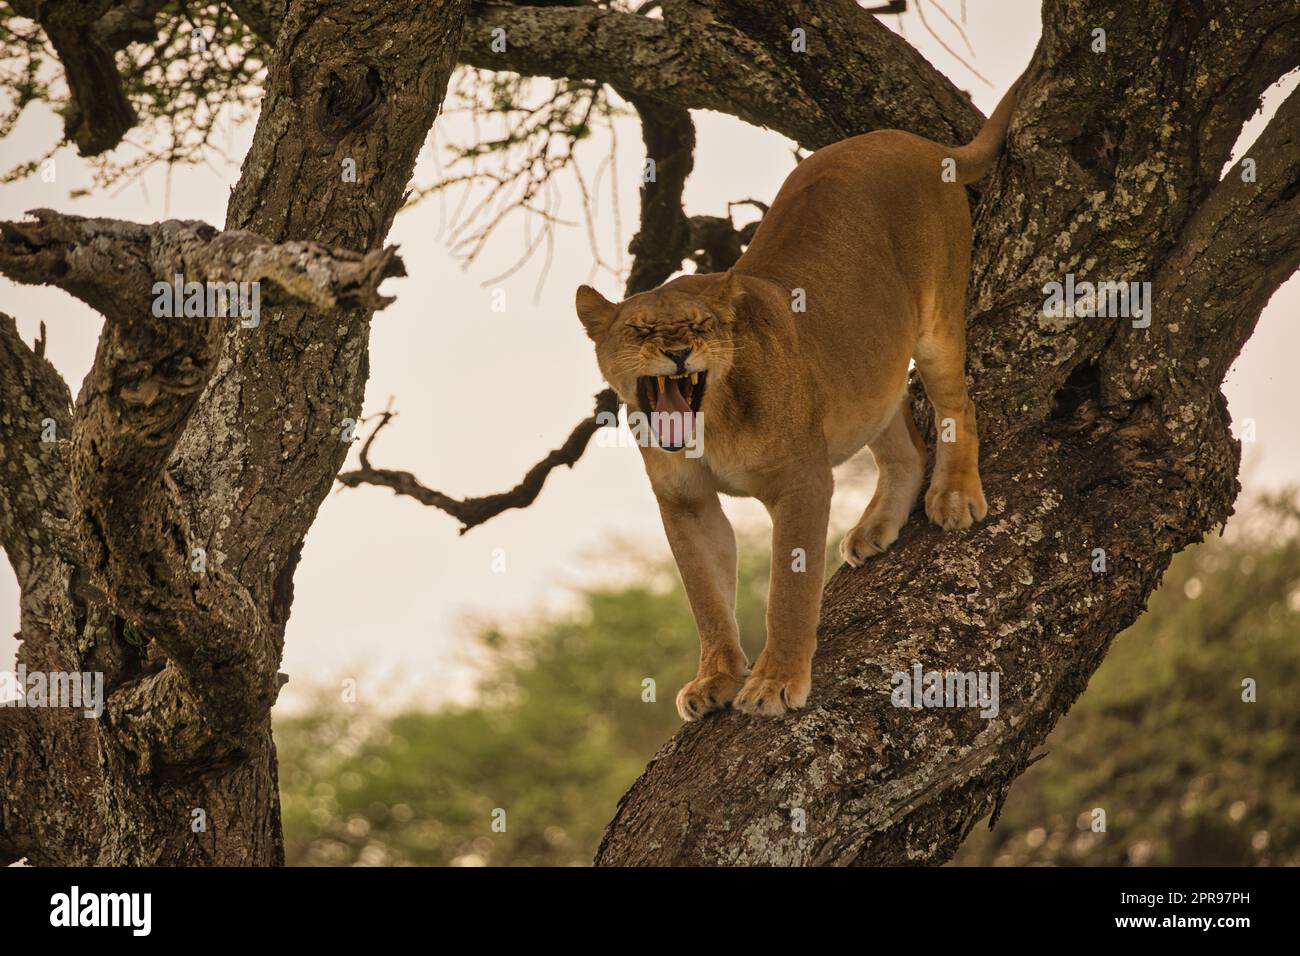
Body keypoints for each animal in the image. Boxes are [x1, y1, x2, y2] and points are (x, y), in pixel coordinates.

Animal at [575, 77, 1023, 720]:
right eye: (639, 332)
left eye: (701, 326)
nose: (680, 352)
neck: (712, 423)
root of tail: (913, 141)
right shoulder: (686, 503)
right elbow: (705, 596)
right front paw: (715, 679)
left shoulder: (801, 482)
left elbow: (788, 592)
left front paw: (774, 682)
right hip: (866, 370)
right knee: (902, 446)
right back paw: (876, 526)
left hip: (936, 322)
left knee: (958, 407)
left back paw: (955, 496)